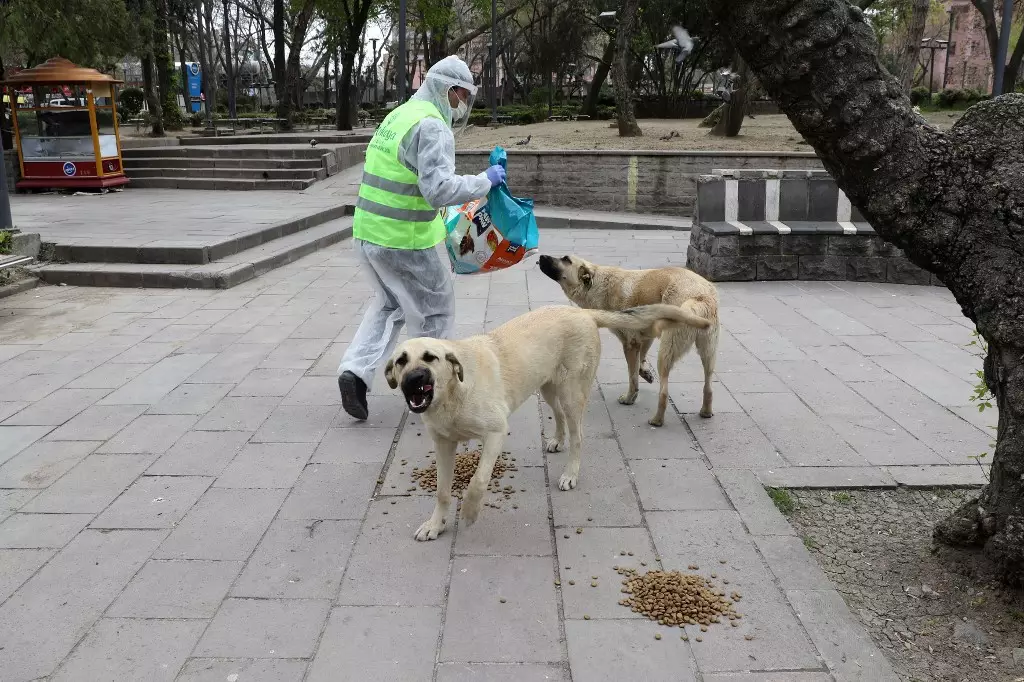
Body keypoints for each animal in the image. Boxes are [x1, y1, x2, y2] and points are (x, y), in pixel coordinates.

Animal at [385, 301, 704, 536]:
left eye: (430, 358)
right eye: (401, 361)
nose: (413, 380)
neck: (452, 395)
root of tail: (582, 312)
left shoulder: (496, 433)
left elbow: (478, 479)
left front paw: (470, 512)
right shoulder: (443, 445)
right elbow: (442, 491)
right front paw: (435, 525)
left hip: (572, 393)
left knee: (578, 435)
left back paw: (570, 473)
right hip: (549, 387)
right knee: (559, 415)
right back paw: (557, 441)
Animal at [536, 253, 720, 425]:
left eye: (566, 259)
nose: (541, 255)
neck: (598, 283)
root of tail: (700, 296)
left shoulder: (629, 344)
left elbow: (632, 376)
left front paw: (630, 398)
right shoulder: (644, 336)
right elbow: (640, 361)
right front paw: (645, 373)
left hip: (667, 351)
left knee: (664, 392)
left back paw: (657, 420)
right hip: (708, 353)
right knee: (709, 387)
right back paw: (706, 411)